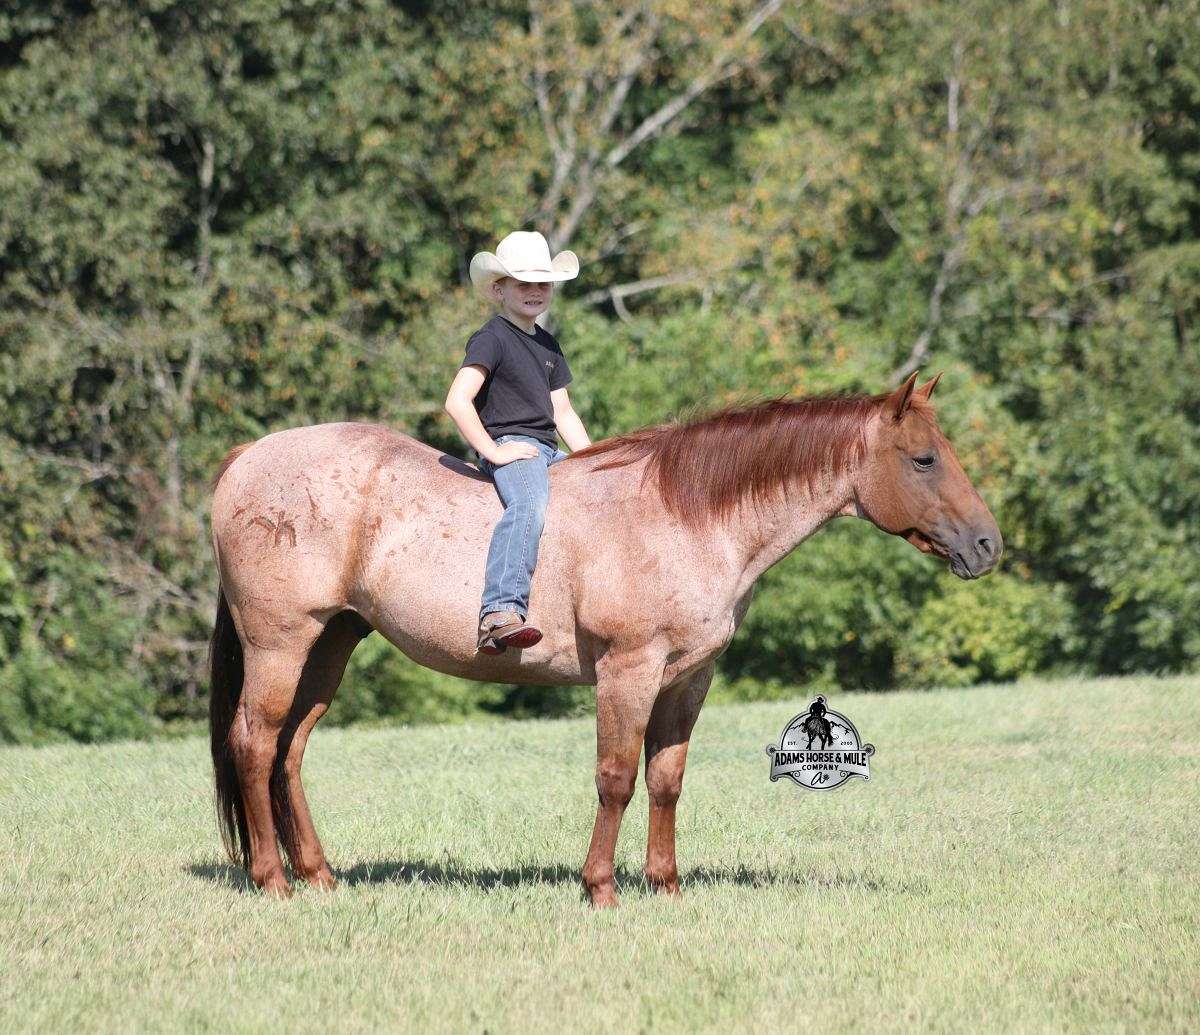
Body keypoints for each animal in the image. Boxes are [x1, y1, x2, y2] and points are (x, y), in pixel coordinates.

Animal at [207, 371, 1001, 907]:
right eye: (925, 458)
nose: (988, 545)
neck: (682, 514)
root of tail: (247, 457)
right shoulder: (630, 670)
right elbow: (616, 777)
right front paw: (600, 888)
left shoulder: (688, 677)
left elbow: (666, 778)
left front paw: (666, 884)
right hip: (282, 644)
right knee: (254, 741)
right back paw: (273, 879)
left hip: (331, 643)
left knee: (290, 750)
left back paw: (319, 875)